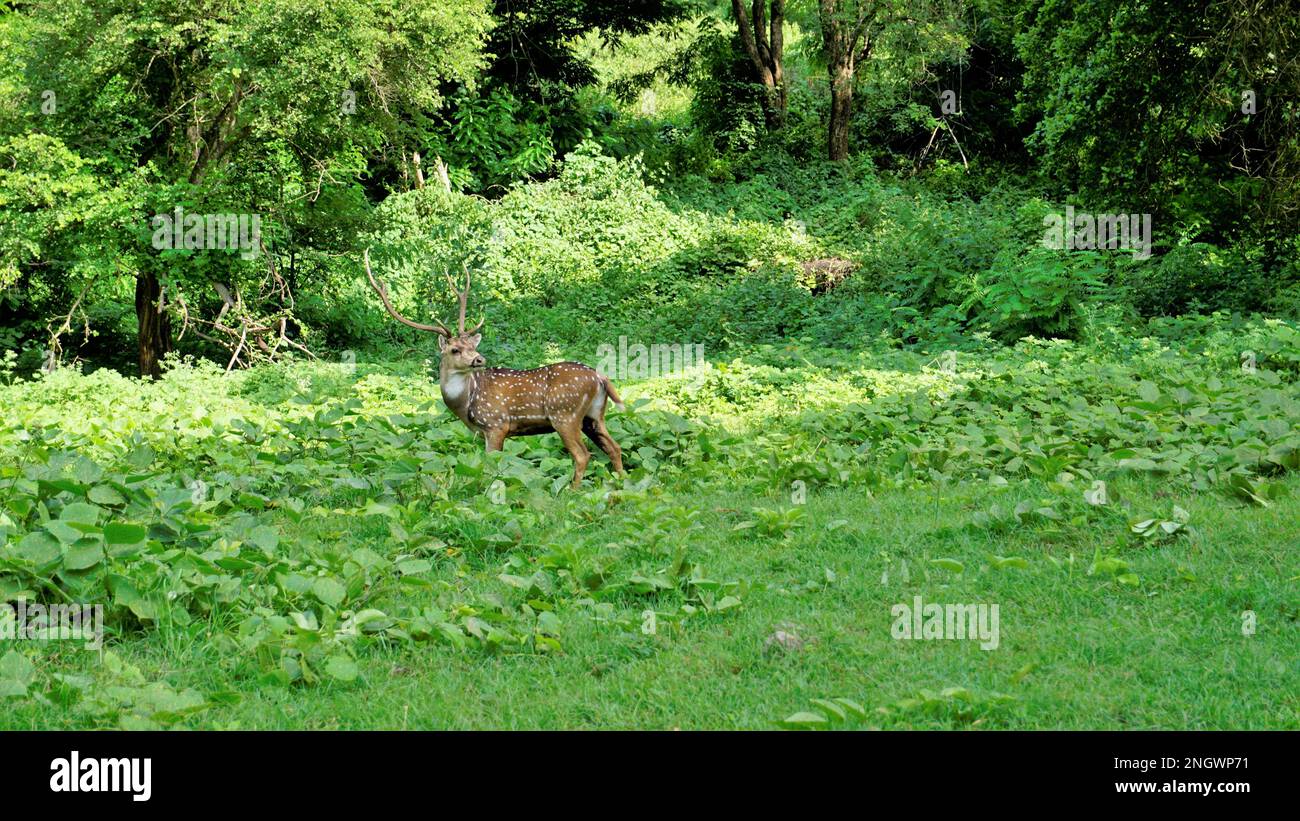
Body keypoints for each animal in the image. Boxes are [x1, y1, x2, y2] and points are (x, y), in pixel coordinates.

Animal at [363, 250, 625, 489]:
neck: (466, 404)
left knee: (582, 455)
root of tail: (600, 377)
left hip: (564, 414)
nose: (479, 359)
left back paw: (571, 491)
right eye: (455, 349)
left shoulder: (496, 424)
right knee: (615, 447)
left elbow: (491, 468)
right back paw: (620, 484)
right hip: (594, 415)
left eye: (471, 345)